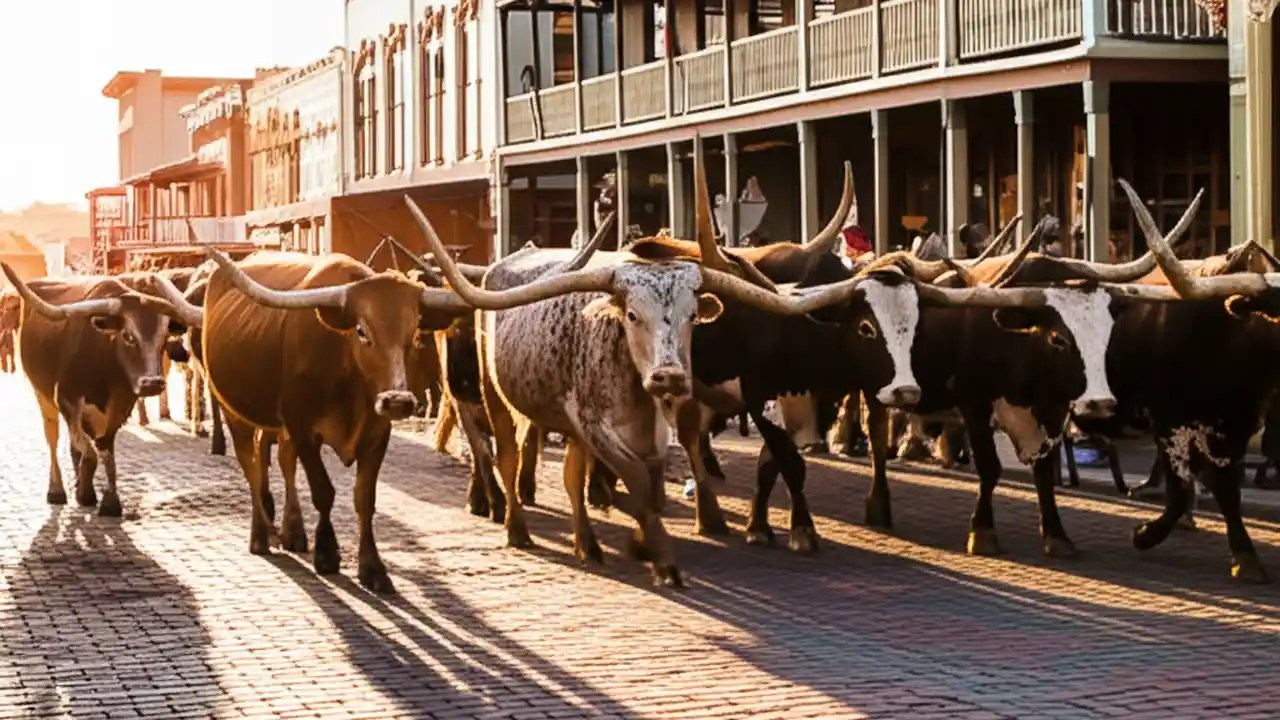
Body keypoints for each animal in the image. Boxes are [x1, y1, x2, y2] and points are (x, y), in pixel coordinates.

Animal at [0, 263, 202, 517]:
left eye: (164, 338)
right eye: (128, 336)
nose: (152, 383)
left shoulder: (120, 405)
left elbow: (105, 452)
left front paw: (109, 500)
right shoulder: (67, 400)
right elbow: (90, 453)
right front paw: (86, 494)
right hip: (43, 395)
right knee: (53, 437)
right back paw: (57, 490)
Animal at [857, 202, 1191, 559]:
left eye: (1107, 331)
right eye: (1058, 339)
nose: (1100, 403)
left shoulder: (1053, 414)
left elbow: (1043, 472)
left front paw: (1056, 535)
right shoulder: (974, 405)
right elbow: (990, 467)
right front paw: (983, 532)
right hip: (873, 388)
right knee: (876, 434)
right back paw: (878, 506)